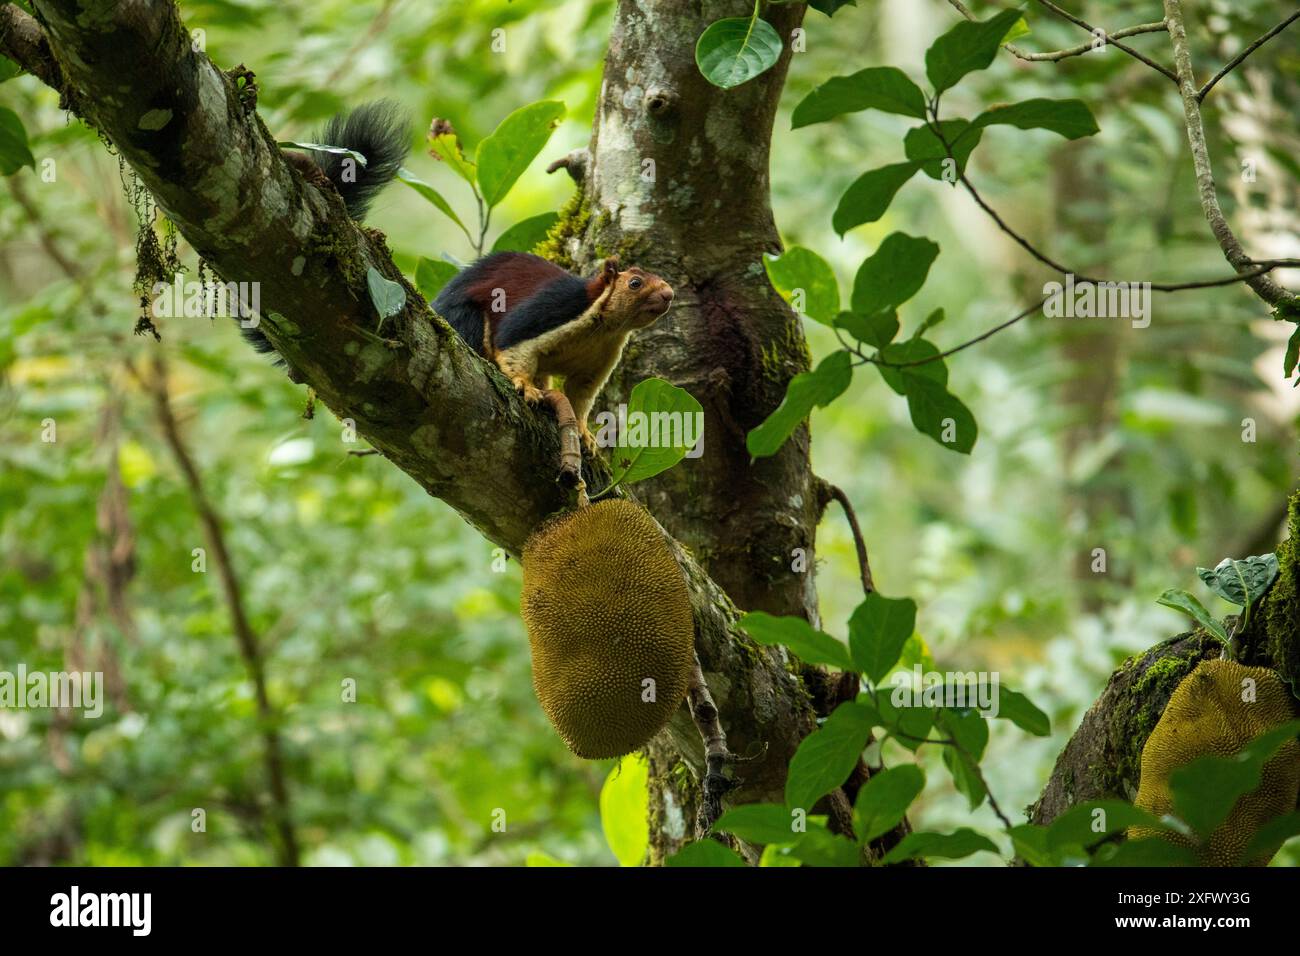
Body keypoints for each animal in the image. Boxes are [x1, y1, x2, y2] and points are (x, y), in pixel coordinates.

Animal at [249, 100, 675, 451]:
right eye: (635, 283)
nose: (669, 293)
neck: (604, 326)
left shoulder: (597, 364)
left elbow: (581, 397)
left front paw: (585, 433)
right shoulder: (553, 310)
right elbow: (512, 344)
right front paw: (524, 387)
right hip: (465, 319)